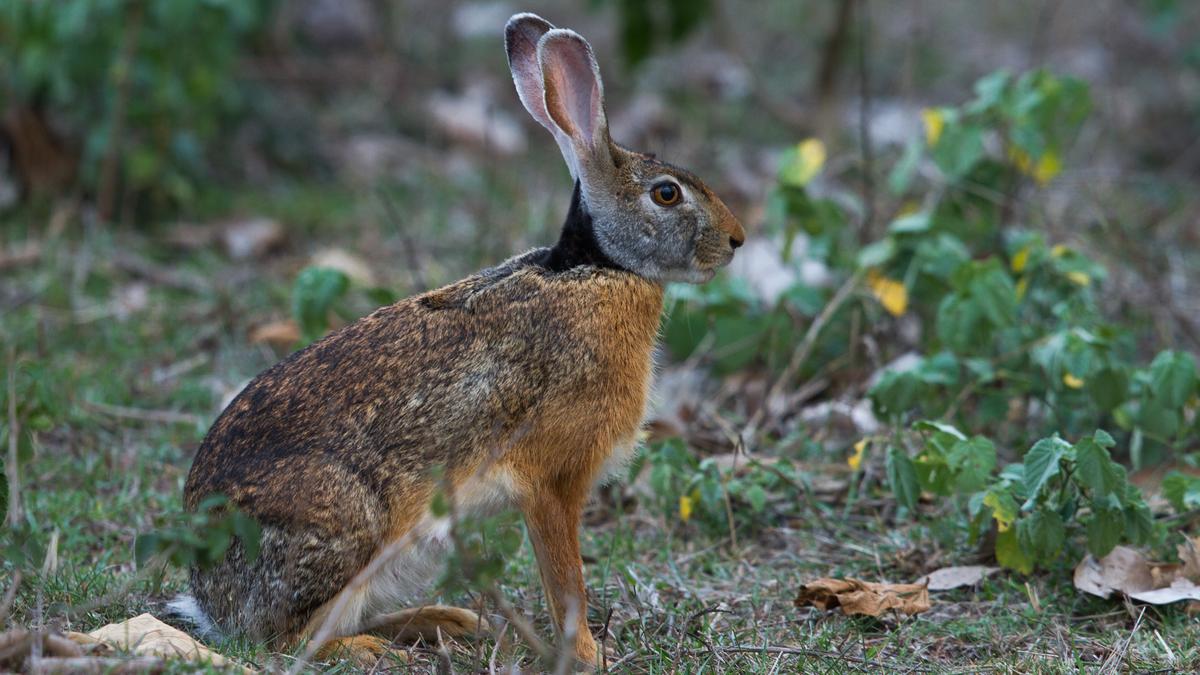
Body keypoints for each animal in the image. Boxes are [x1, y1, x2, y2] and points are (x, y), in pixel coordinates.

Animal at [173, 11, 745, 669]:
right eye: (667, 193)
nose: (737, 240)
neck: (597, 267)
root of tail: (211, 599)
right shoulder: (553, 480)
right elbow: (565, 581)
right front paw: (587, 654)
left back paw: (447, 620)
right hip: (348, 526)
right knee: (287, 641)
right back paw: (374, 649)